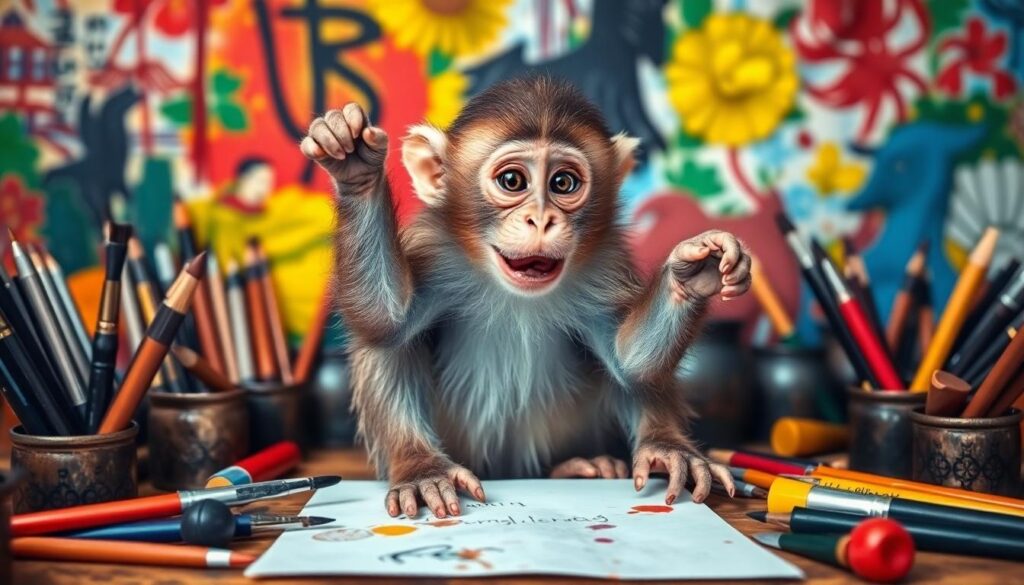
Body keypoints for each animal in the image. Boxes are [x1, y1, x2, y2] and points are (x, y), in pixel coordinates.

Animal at [300, 77, 752, 520]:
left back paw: (640, 453)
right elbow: (386, 320)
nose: (541, 219)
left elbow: (631, 363)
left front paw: (694, 270)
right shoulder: (433, 249)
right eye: (512, 181)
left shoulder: (604, 268)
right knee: (390, 345)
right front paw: (354, 164)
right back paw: (421, 468)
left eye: (563, 183)